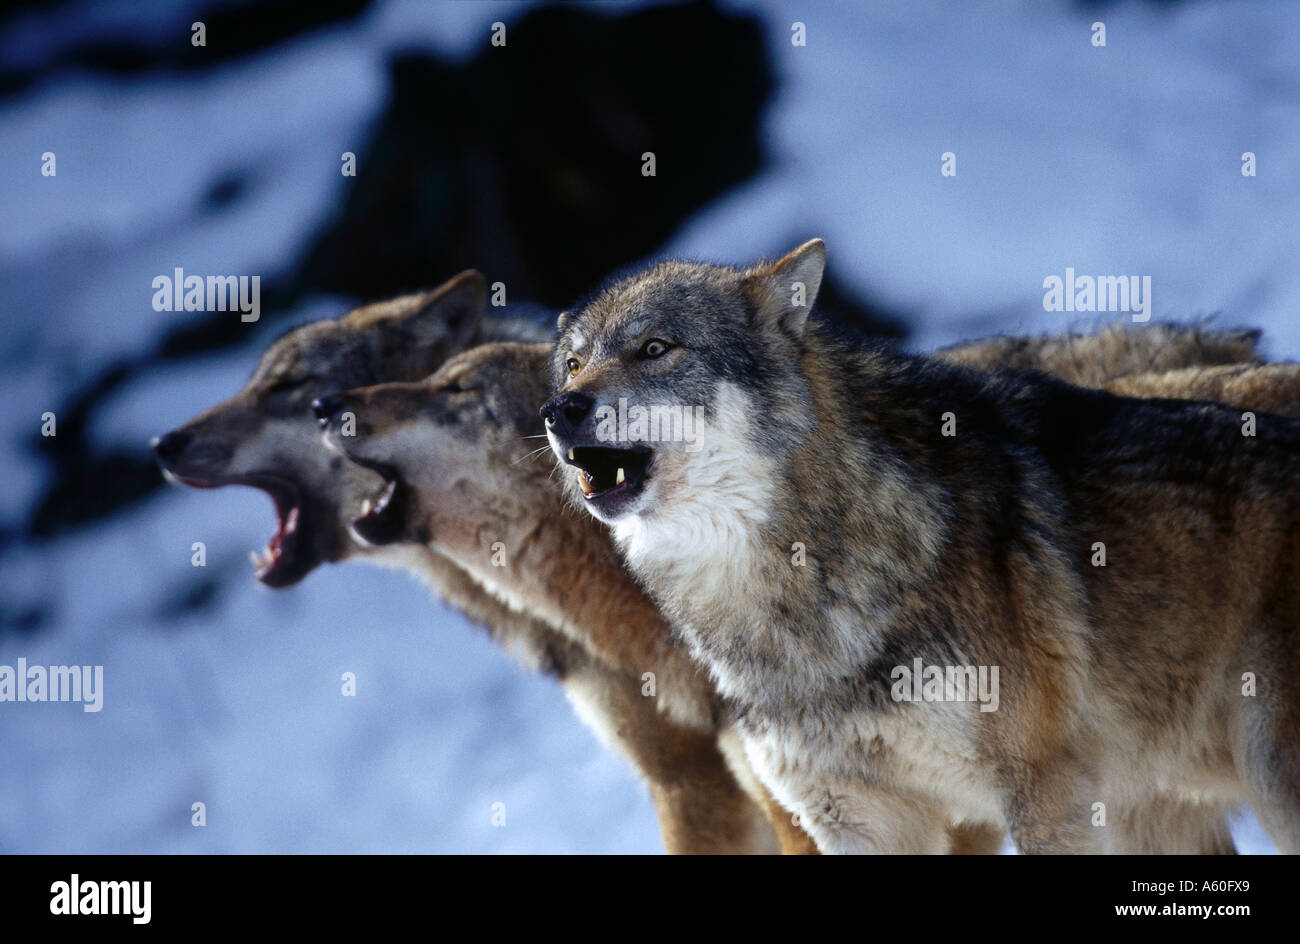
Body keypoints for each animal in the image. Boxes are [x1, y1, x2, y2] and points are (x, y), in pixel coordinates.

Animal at [542, 239, 1300, 854]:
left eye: (654, 348)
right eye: (573, 364)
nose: (558, 410)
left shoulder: (1046, 796)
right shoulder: (857, 818)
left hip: (1268, 778)